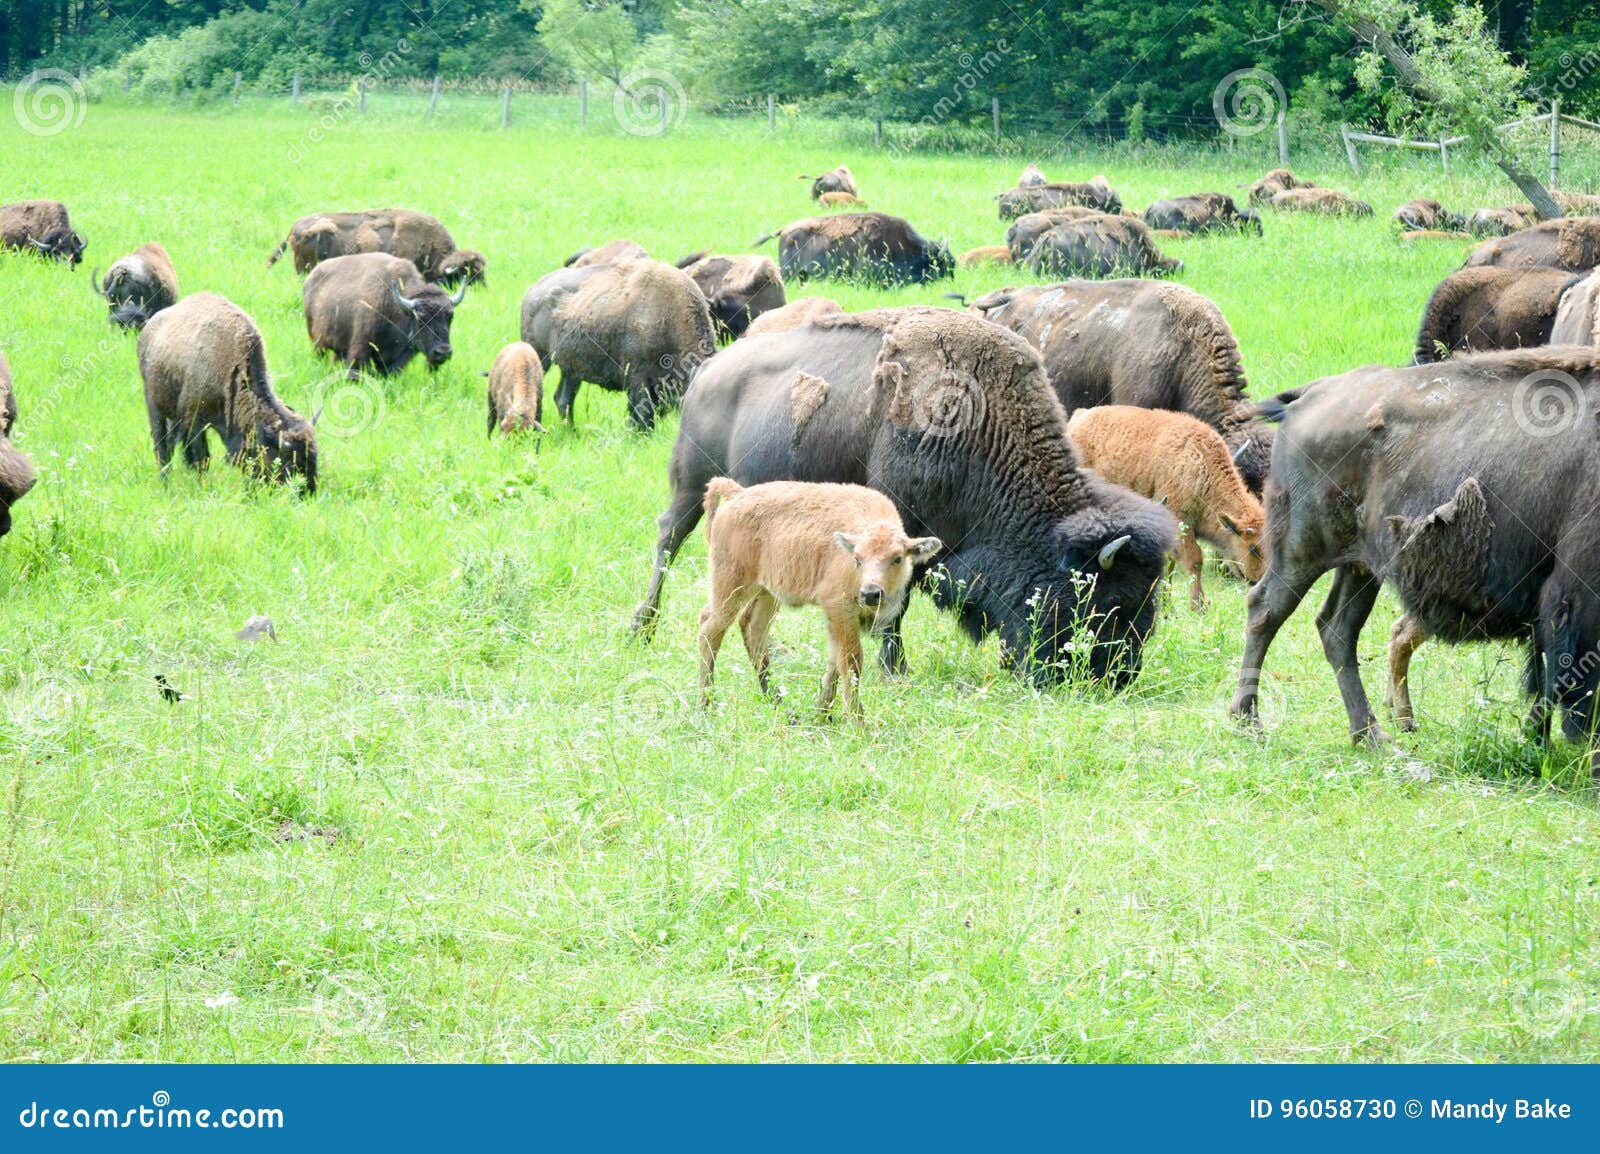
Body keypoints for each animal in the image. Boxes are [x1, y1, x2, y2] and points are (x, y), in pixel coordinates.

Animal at [303, 253, 467, 376]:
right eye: (420, 317)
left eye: (450, 316)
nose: (443, 352)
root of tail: (310, 277)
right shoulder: (361, 348)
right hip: (317, 342)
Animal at [632, 307, 1176, 686]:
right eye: (1112, 602)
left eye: (1150, 602)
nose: (1116, 677)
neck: (985, 427)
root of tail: (708, 370)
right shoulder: (904, 531)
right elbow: (898, 602)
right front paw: (896, 669)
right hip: (691, 484)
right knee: (668, 538)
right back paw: (643, 627)